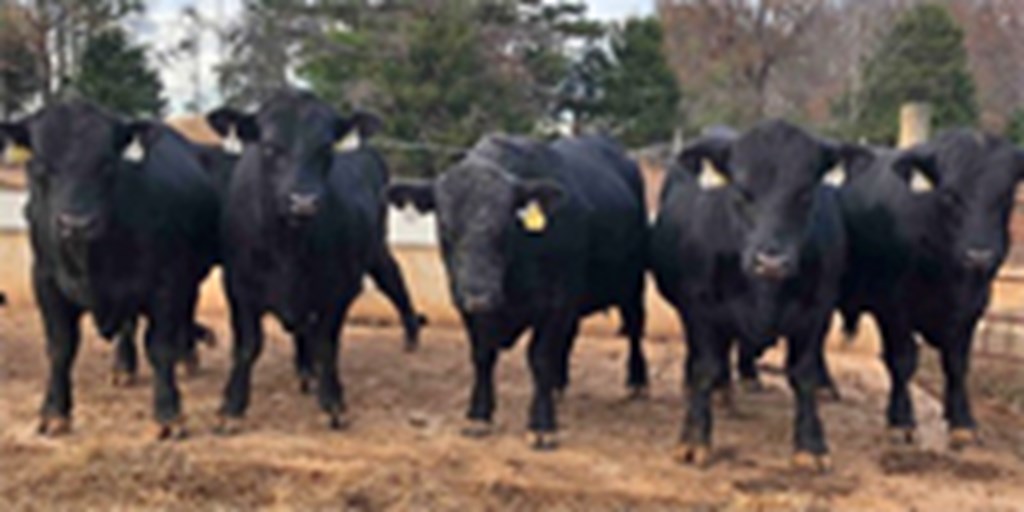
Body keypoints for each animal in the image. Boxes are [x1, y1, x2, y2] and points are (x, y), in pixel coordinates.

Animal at [0, 100, 220, 439]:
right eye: (39, 166)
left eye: (107, 165)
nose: (77, 224)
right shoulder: (45, 281)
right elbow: (60, 347)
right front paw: (54, 413)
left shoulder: (168, 283)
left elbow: (161, 347)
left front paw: (168, 415)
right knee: (128, 325)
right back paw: (124, 368)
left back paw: (186, 355)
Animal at [205, 89, 421, 431]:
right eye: (269, 146)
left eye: (326, 148)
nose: (303, 201)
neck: (288, 248)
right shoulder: (238, 287)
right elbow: (248, 346)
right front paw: (231, 406)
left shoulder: (340, 289)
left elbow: (326, 344)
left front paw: (333, 401)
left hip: (376, 247)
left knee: (392, 279)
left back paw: (409, 335)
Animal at [387, 134, 649, 449]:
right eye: (445, 226)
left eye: (505, 224)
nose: (480, 295)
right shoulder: (465, 304)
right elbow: (483, 355)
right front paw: (479, 415)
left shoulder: (557, 303)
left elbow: (541, 358)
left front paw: (542, 424)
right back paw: (559, 384)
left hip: (632, 283)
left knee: (634, 327)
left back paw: (637, 381)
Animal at [651, 120, 846, 471]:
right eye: (741, 191)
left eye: (805, 193)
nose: (771, 261)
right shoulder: (701, 309)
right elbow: (704, 368)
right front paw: (693, 440)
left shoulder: (817, 312)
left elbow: (804, 375)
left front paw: (811, 445)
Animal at [836, 130, 1024, 449]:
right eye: (949, 195)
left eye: (1007, 195)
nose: (979, 256)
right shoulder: (894, 308)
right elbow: (902, 361)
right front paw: (901, 420)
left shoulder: (972, 309)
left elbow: (957, 364)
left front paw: (962, 421)